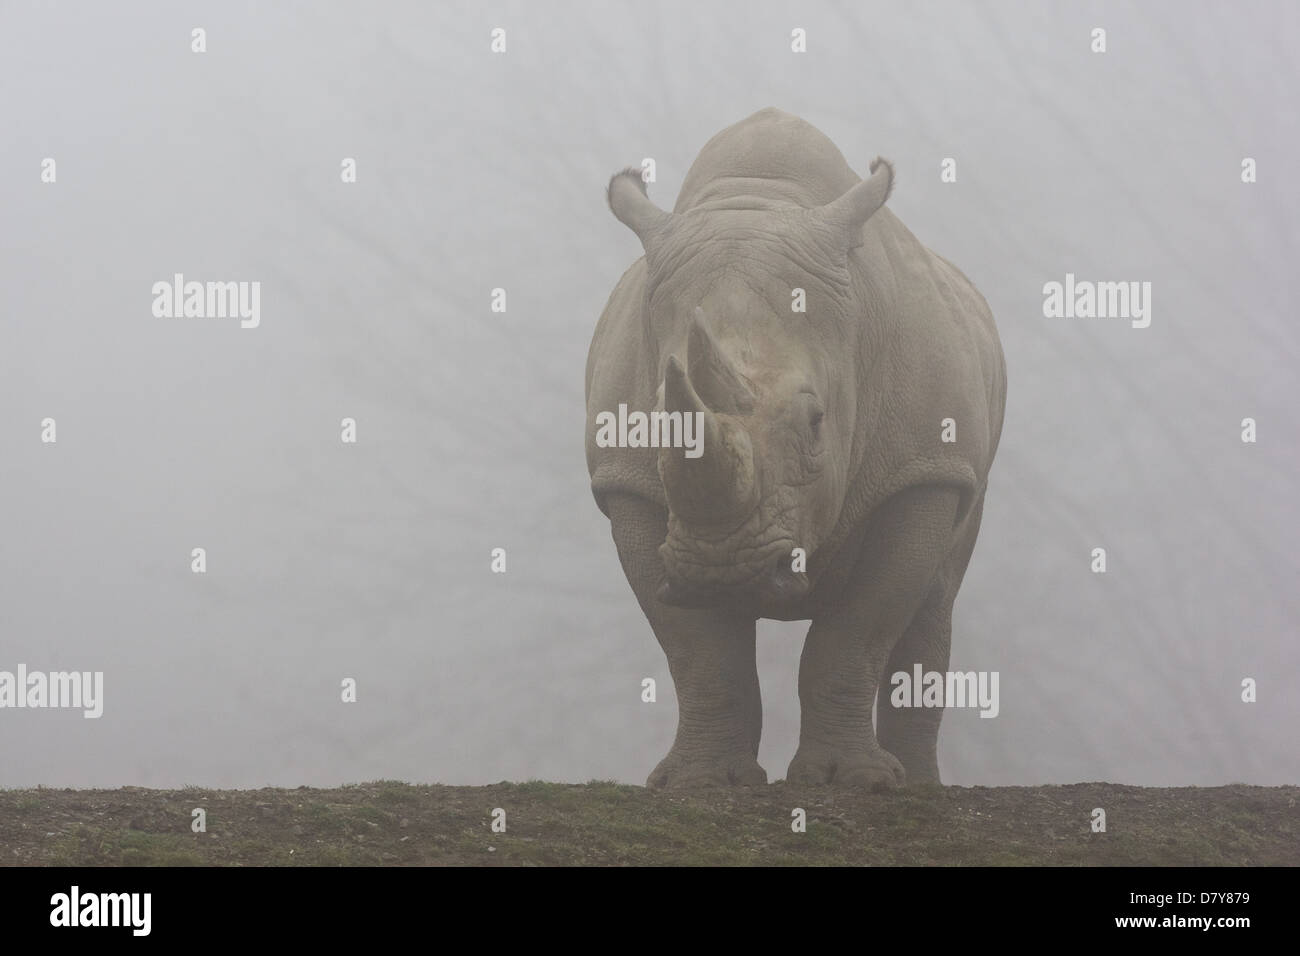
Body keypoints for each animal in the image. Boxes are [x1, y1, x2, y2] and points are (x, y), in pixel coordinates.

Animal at [585, 108, 1006, 789]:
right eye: (652, 427)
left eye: (816, 424)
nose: (723, 568)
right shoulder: (626, 480)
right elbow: (695, 648)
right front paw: (701, 784)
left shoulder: (922, 469)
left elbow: (859, 628)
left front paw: (849, 782)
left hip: (961, 456)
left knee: (938, 590)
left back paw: (919, 787)